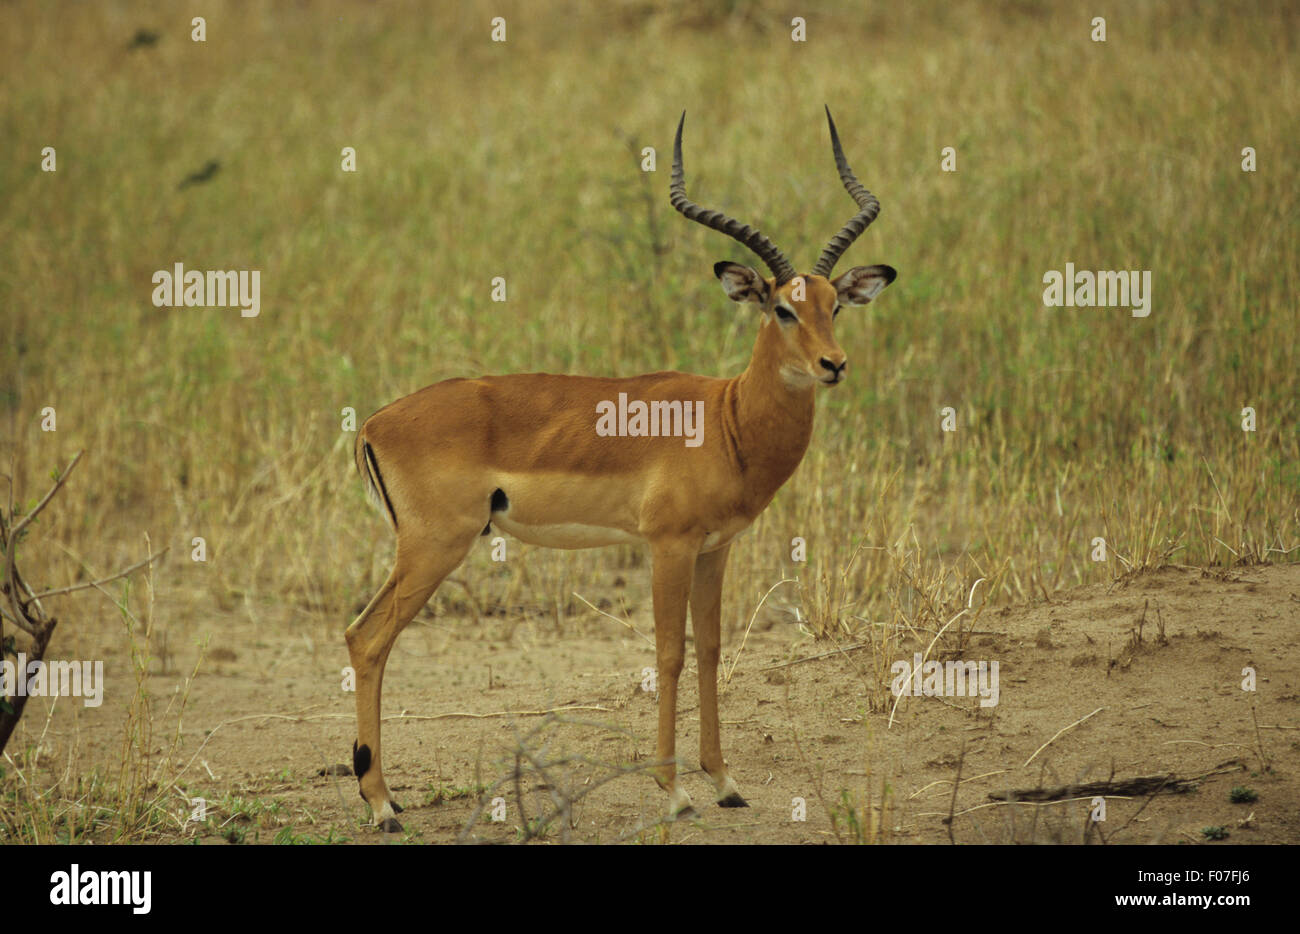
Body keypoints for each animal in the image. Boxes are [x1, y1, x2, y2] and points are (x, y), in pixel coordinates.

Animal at [345, 108, 896, 830]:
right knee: (366, 638)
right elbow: (669, 652)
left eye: (834, 305)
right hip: (435, 545)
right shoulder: (668, 545)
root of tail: (374, 424)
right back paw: (383, 805)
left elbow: (711, 649)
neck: (726, 419)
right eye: (782, 307)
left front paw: (725, 782)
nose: (834, 365)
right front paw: (674, 792)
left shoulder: (715, 549)